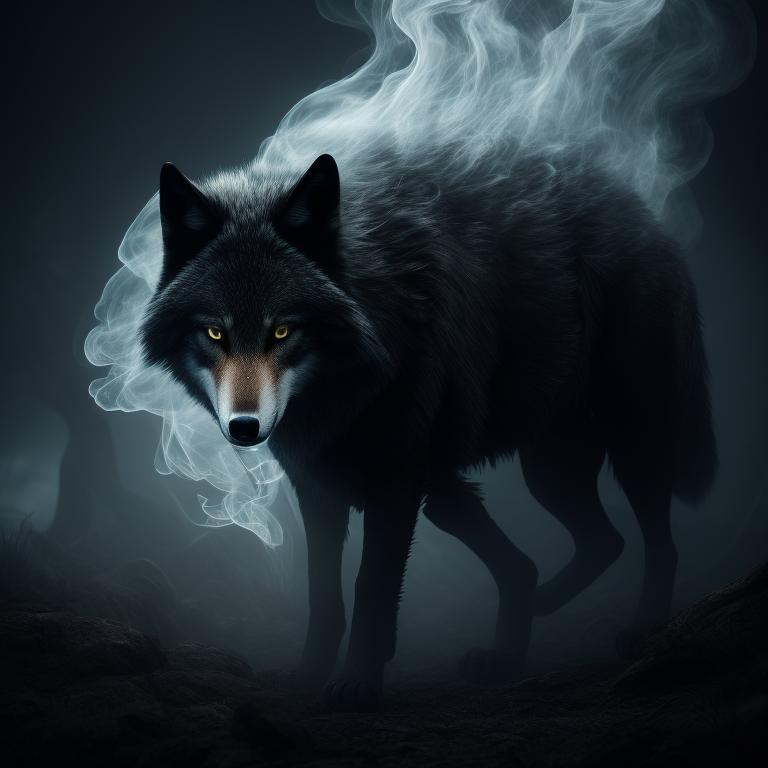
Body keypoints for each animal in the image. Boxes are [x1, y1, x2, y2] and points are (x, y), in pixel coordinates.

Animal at [141, 147, 716, 711]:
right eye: (215, 332)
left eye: (282, 331)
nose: (244, 427)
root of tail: (649, 225)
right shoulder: (320, 488)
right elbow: (323, 593)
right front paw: (308, 675)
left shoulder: (394, 486)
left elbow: (371, 587)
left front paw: (357, 684)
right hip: (535, 476)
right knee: (575, 549)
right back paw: (515, 639)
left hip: (627, 444)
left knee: (658, 545)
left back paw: (639, 631)